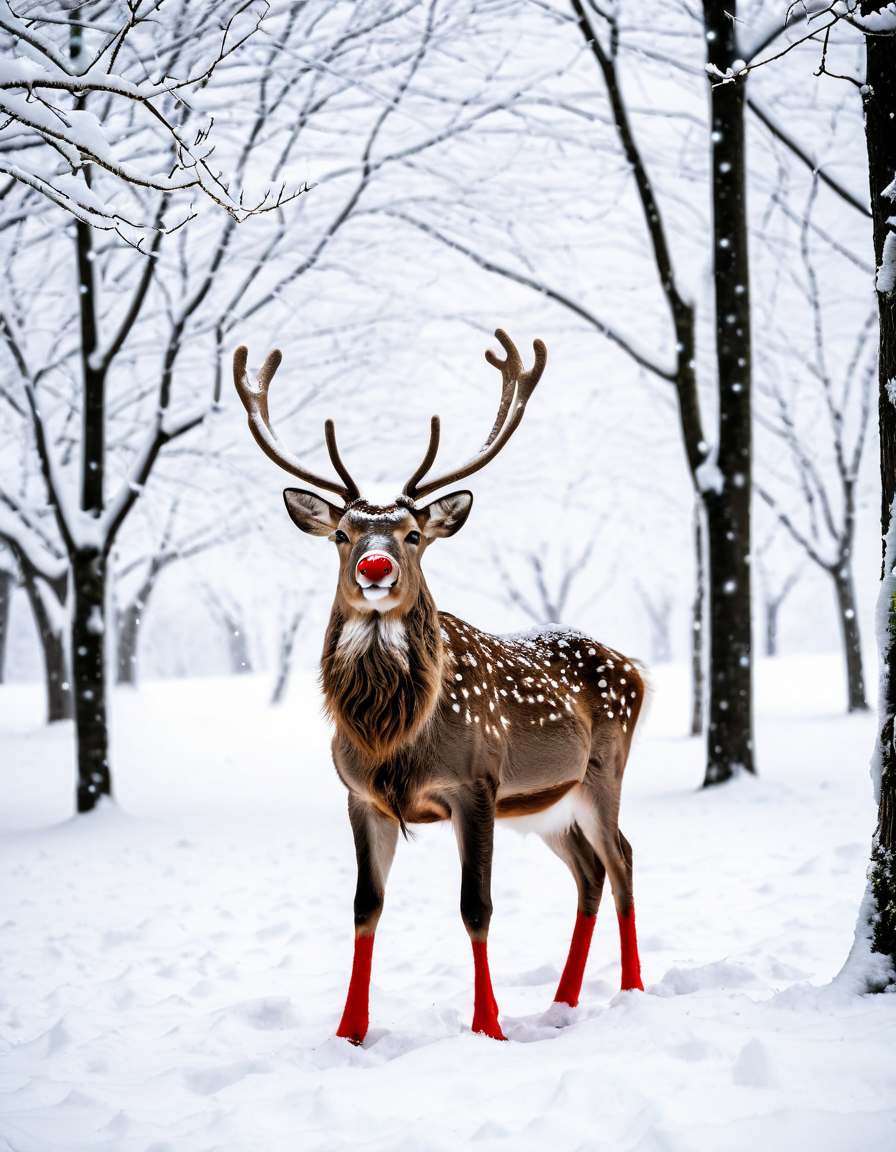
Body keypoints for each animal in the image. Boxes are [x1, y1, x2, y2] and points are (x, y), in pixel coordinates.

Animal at [233, 331, 645, 1044]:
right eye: (341, 533)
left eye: (413, 534)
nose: (375, 566)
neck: (393, 736)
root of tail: (638, 669)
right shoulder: (360, 795)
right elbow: (364, 905)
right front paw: (349, 1031)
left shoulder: (475, 782)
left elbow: (475, 906)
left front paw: (490, 1027)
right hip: (546, 806)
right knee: (589, 872)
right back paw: (562, 1004)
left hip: (603, 772)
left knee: (621, 859)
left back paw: (631, 992)